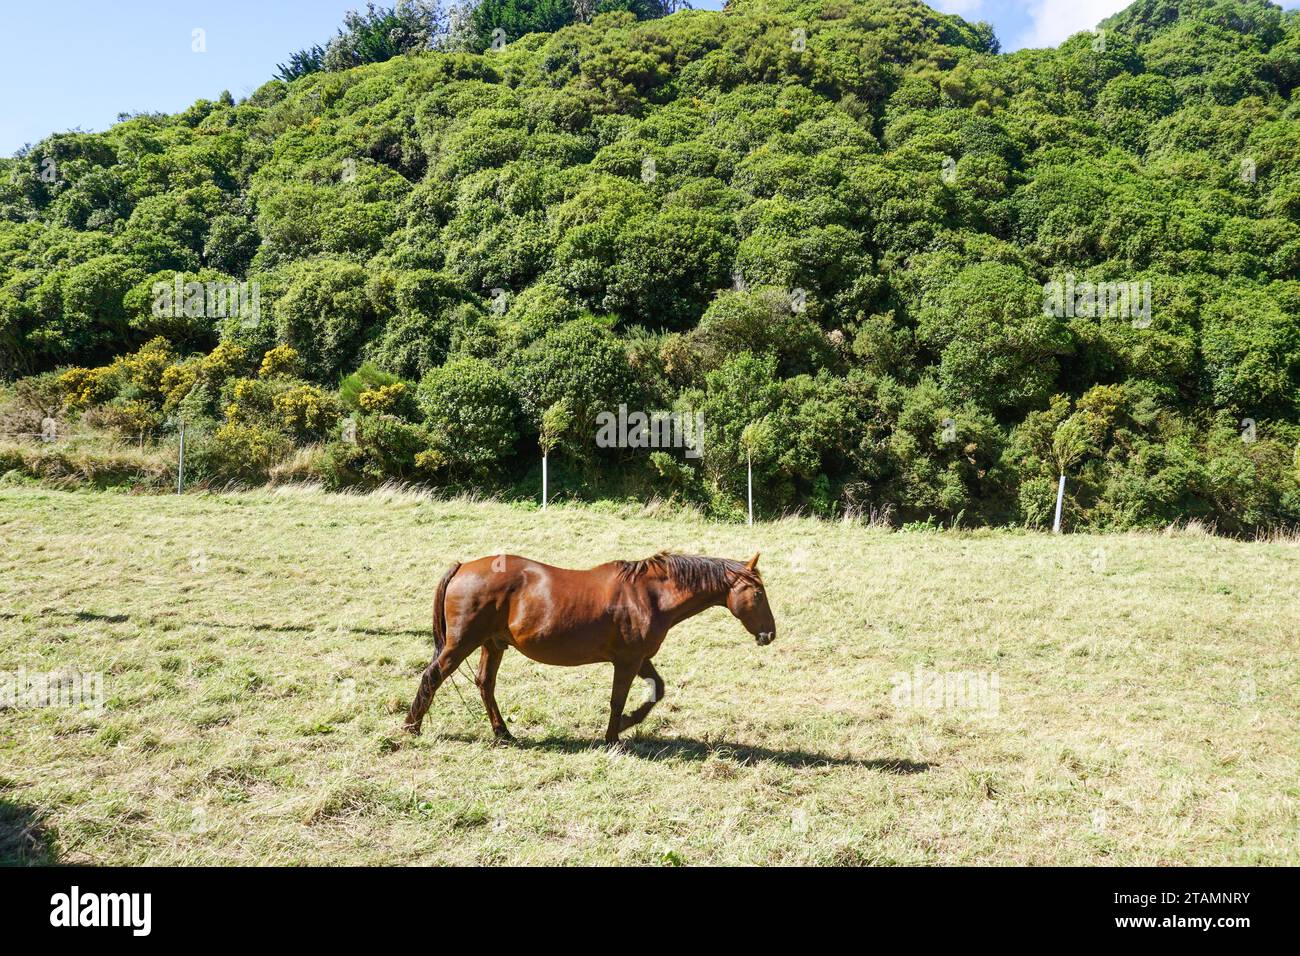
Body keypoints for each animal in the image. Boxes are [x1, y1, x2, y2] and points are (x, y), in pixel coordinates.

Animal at [402, 551, 776, 746]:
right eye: (758, 593)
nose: (769, 634)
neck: (649, 596)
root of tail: (462, 567)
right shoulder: (626, 661)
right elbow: (617, 700)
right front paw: (613, 736)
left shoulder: (639, 659)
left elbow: (657, 691)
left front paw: (627, 723)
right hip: (462, 643)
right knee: (433, 676)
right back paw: (411, 727)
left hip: (492, 644)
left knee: (485, 685)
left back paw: (503, 732)